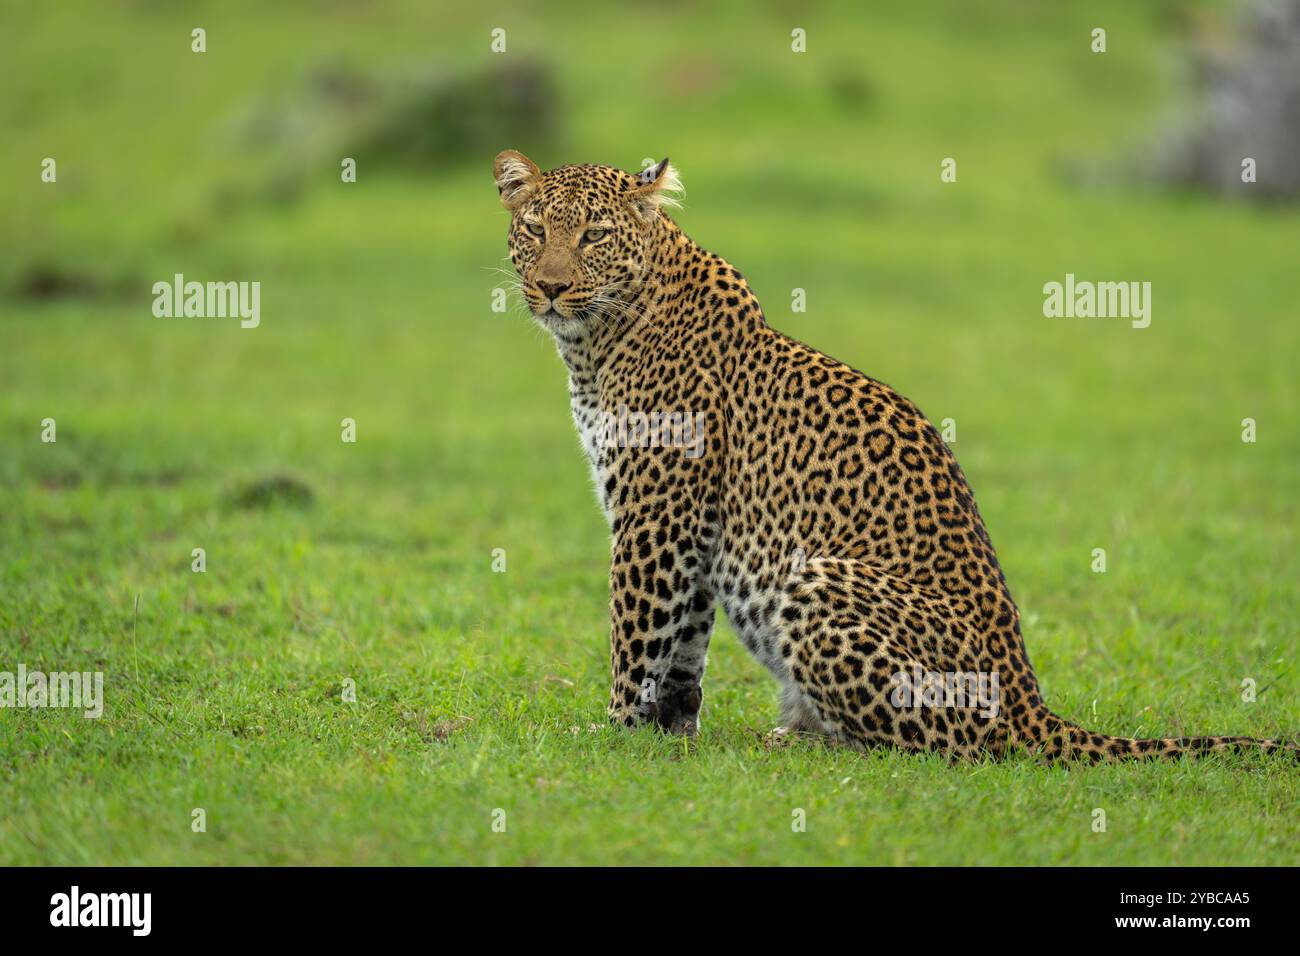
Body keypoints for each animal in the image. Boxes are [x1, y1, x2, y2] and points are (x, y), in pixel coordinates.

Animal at [492, 148, 1296, 763]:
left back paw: (803, 739)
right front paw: (669, 733)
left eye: (594, 235)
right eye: (534, 228)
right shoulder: (685, 526)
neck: (596, 343)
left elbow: (637, 635)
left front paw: (613, 734)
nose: (551, 286)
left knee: (947, 747)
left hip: (817, 580)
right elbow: (684, 640)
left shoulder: (658, 513)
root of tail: (1031, 700)